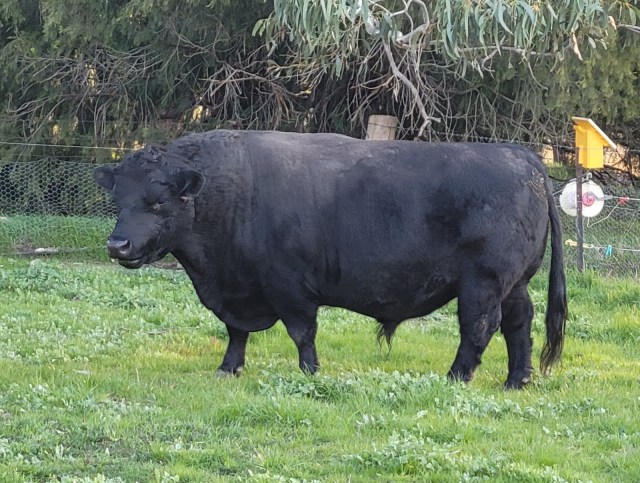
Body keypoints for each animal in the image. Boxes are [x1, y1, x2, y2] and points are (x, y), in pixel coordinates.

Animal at [94, 130, 567, 388]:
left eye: (158, 201)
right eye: (119, 199)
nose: (118, 245)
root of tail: (519, 155)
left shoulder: (288, 287)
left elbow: (302, 333)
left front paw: (309, 372)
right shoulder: (239, 290)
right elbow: (235, 332)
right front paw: (228, 369)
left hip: (483, 284)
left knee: (479, 329)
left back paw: (456, 377)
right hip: (515, 284)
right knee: (519, 325)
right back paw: (516, 380)